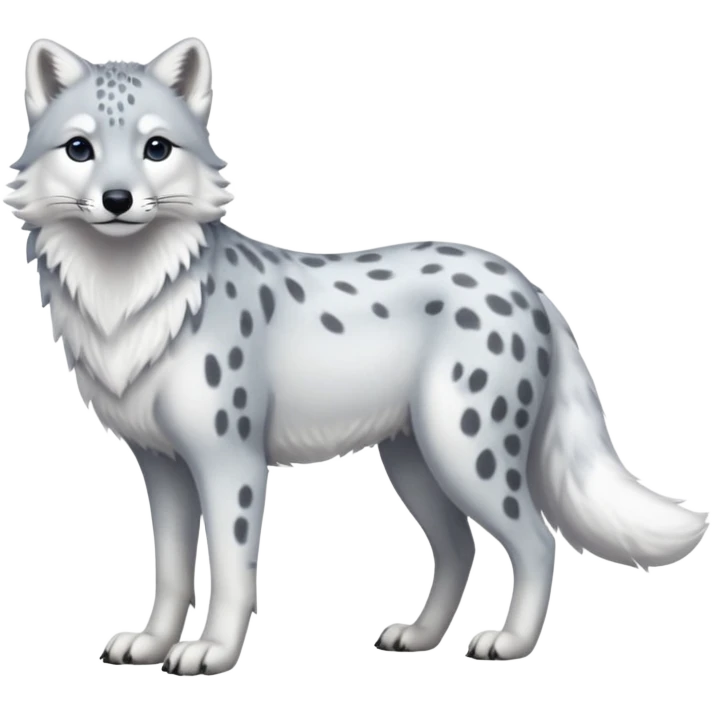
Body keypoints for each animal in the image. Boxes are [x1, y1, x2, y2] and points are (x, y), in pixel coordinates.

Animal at [5, 37, 709, 676]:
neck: (130, 296)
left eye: (157, 147)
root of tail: (526, 283)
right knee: (458, 548)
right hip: (416, 460)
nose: (117, 201)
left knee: (536, 543)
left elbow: (231, 570)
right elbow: (172, 570)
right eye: (79, 148)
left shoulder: (230, 460)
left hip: (466, 454)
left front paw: (213, 653)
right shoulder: (163, 466)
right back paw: (419, 638)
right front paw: (151, 646)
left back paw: (509, 644)